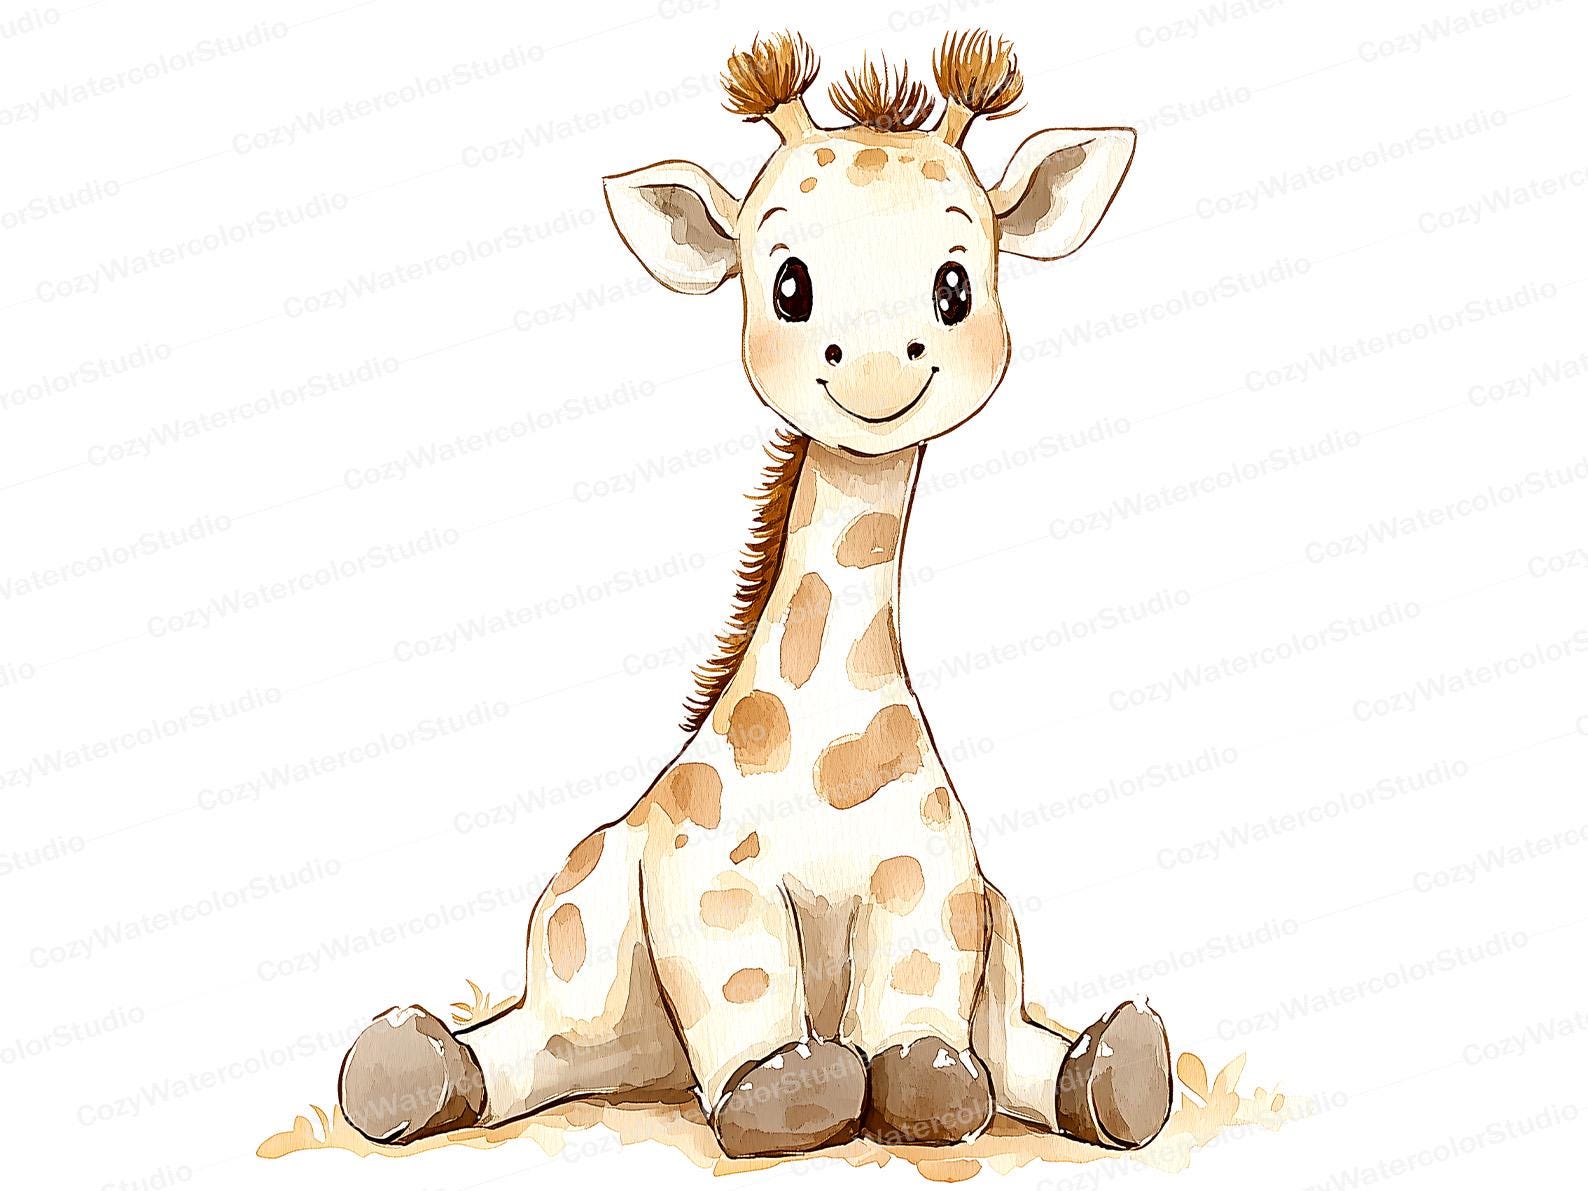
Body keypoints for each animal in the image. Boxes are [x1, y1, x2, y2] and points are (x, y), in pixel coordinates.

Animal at [335, 30, 1172, 1159]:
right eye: (788, 285)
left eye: (956, 284)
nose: (875, 366)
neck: (833, 763)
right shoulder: (706, 874)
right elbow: (743, 991)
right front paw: (788, 1094)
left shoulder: (933, 877)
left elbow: (929, 1027)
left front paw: (921, 1087)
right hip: (583, 959)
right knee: (532, 1051)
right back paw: (401, 1066)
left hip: (1000, 931)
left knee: (1019, 1047)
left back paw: (1121, 1067)